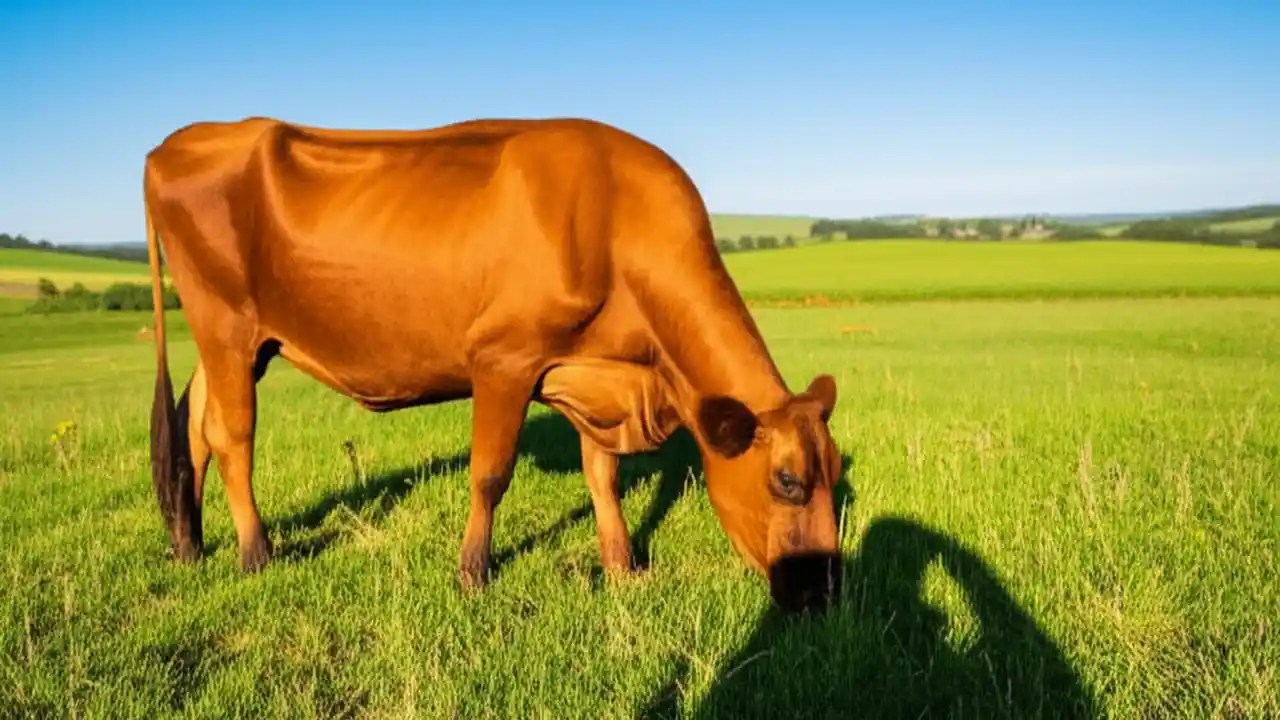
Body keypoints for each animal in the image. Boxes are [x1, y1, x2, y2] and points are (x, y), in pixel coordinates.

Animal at [143, 116, 843, 612]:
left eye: (836, 472)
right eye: (787, 480)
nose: (826, 592)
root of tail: (177, 142)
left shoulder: (594, 375)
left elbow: (603, 477)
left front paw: (622, 567)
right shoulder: (504, 359)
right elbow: (490, 475)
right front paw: (473, 573)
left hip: (237, 343)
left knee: (196, 427)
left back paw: (190, 546)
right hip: (225, 324)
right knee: (231, 436)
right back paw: (255, 552)